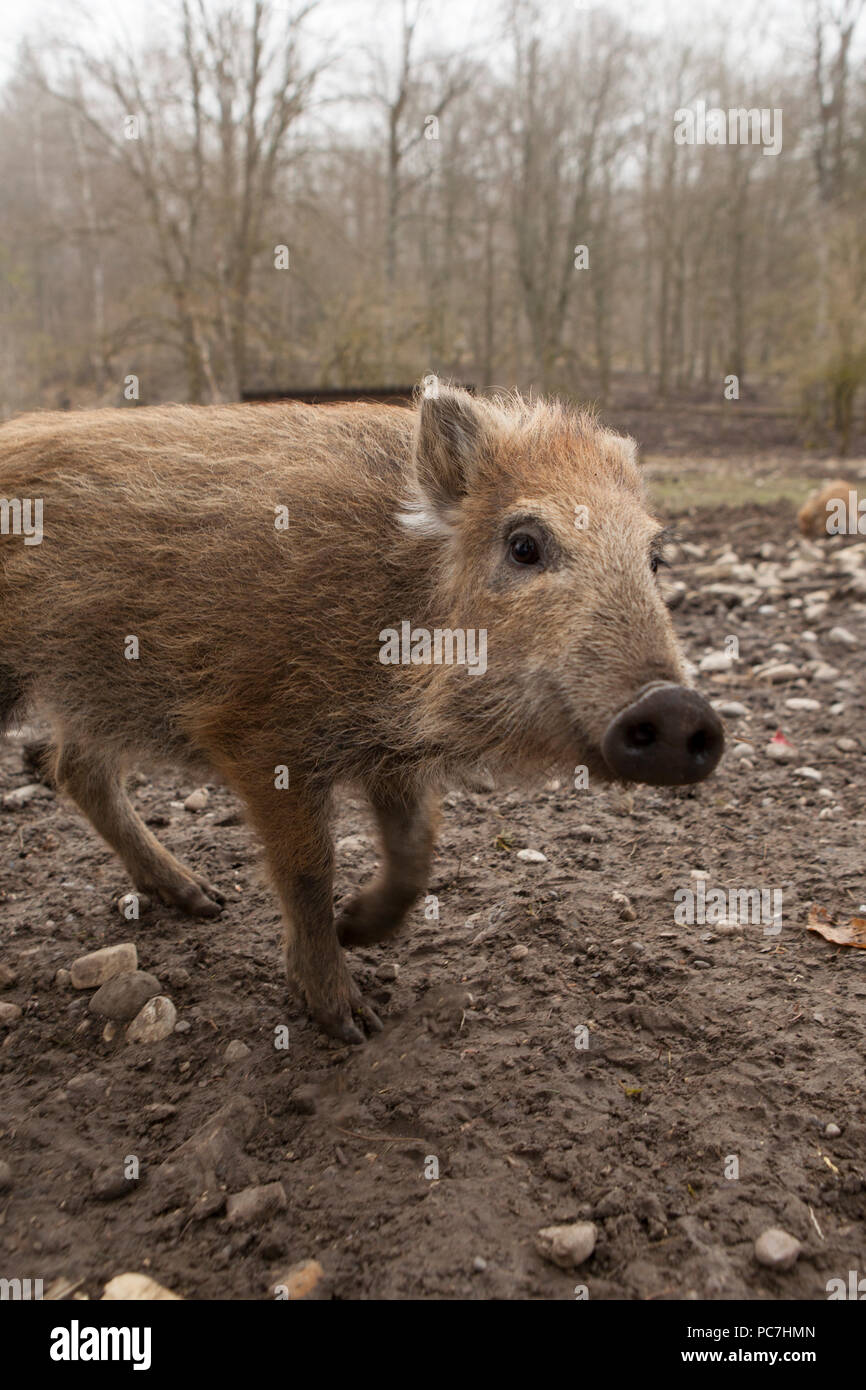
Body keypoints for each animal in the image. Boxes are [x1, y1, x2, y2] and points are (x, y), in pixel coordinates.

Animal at [0, 384, 723, 1042]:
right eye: (523, 545)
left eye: (655, 558)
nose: (678, 707)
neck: (399, 602)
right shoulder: (258, 735)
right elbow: (308, 871)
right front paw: (351, 1022)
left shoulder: (390, 750)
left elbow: (414, 852)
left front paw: (357, 927)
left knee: (74, 769)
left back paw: (203, 901)